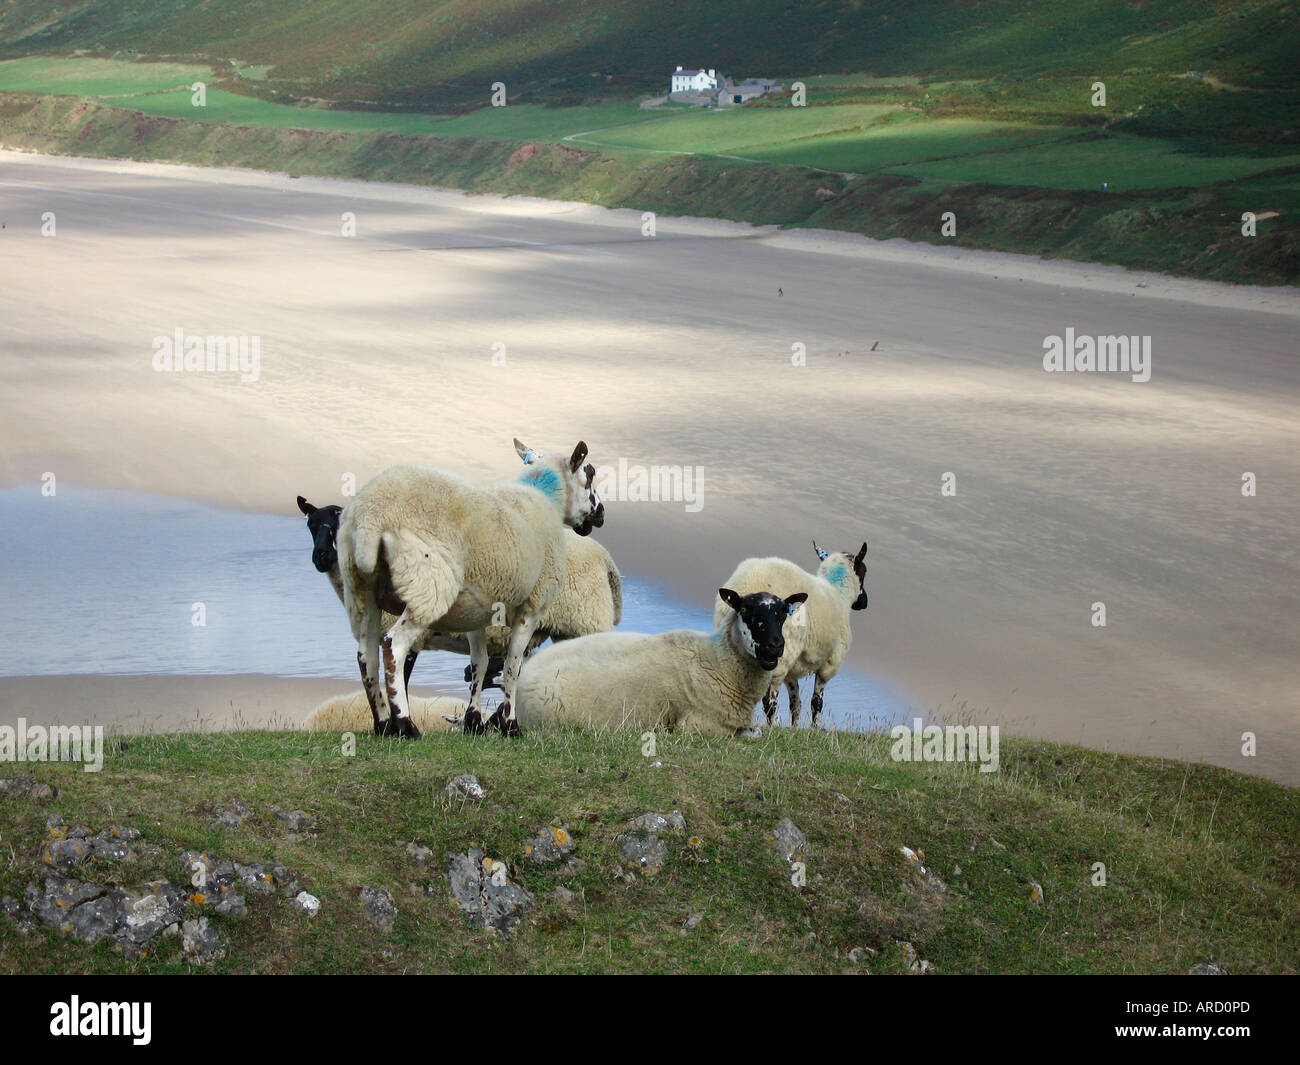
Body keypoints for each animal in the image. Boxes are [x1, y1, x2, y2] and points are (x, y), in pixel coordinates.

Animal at [297, 495, 621, 690]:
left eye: (339, 525)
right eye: (310, 525)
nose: (321, 557)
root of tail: (607, 559)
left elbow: (400, 680)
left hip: (589, 620)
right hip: (568, 629)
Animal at [336, 439, 604, 739]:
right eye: (590, 473)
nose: (602, 514)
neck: (545, 501)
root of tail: (370, 517)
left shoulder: (478, 608)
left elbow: (481, 663)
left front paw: (474, 721)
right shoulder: (533, 607)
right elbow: (512, 667)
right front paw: (510, 726)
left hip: (360, 589)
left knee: (366, 654)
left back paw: (383, 724)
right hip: (428, 583)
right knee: (393, 646)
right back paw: (405, 725)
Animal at [514, 588, 808, 737]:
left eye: (783, 613)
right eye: (746, 610)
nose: (775, 646)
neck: (718, 660)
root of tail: (524, 674)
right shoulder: (699, 725)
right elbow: (754, 732)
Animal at [713, 541, 868, 728]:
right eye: (864, 571)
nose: (864, 602)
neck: (838, 592)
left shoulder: (792, 667)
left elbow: (796, 702)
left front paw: (794, 728)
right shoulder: (829, 664)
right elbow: (817, 702)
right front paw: (814, 728)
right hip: (777, 654)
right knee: (769, 701)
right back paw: (774, 726)